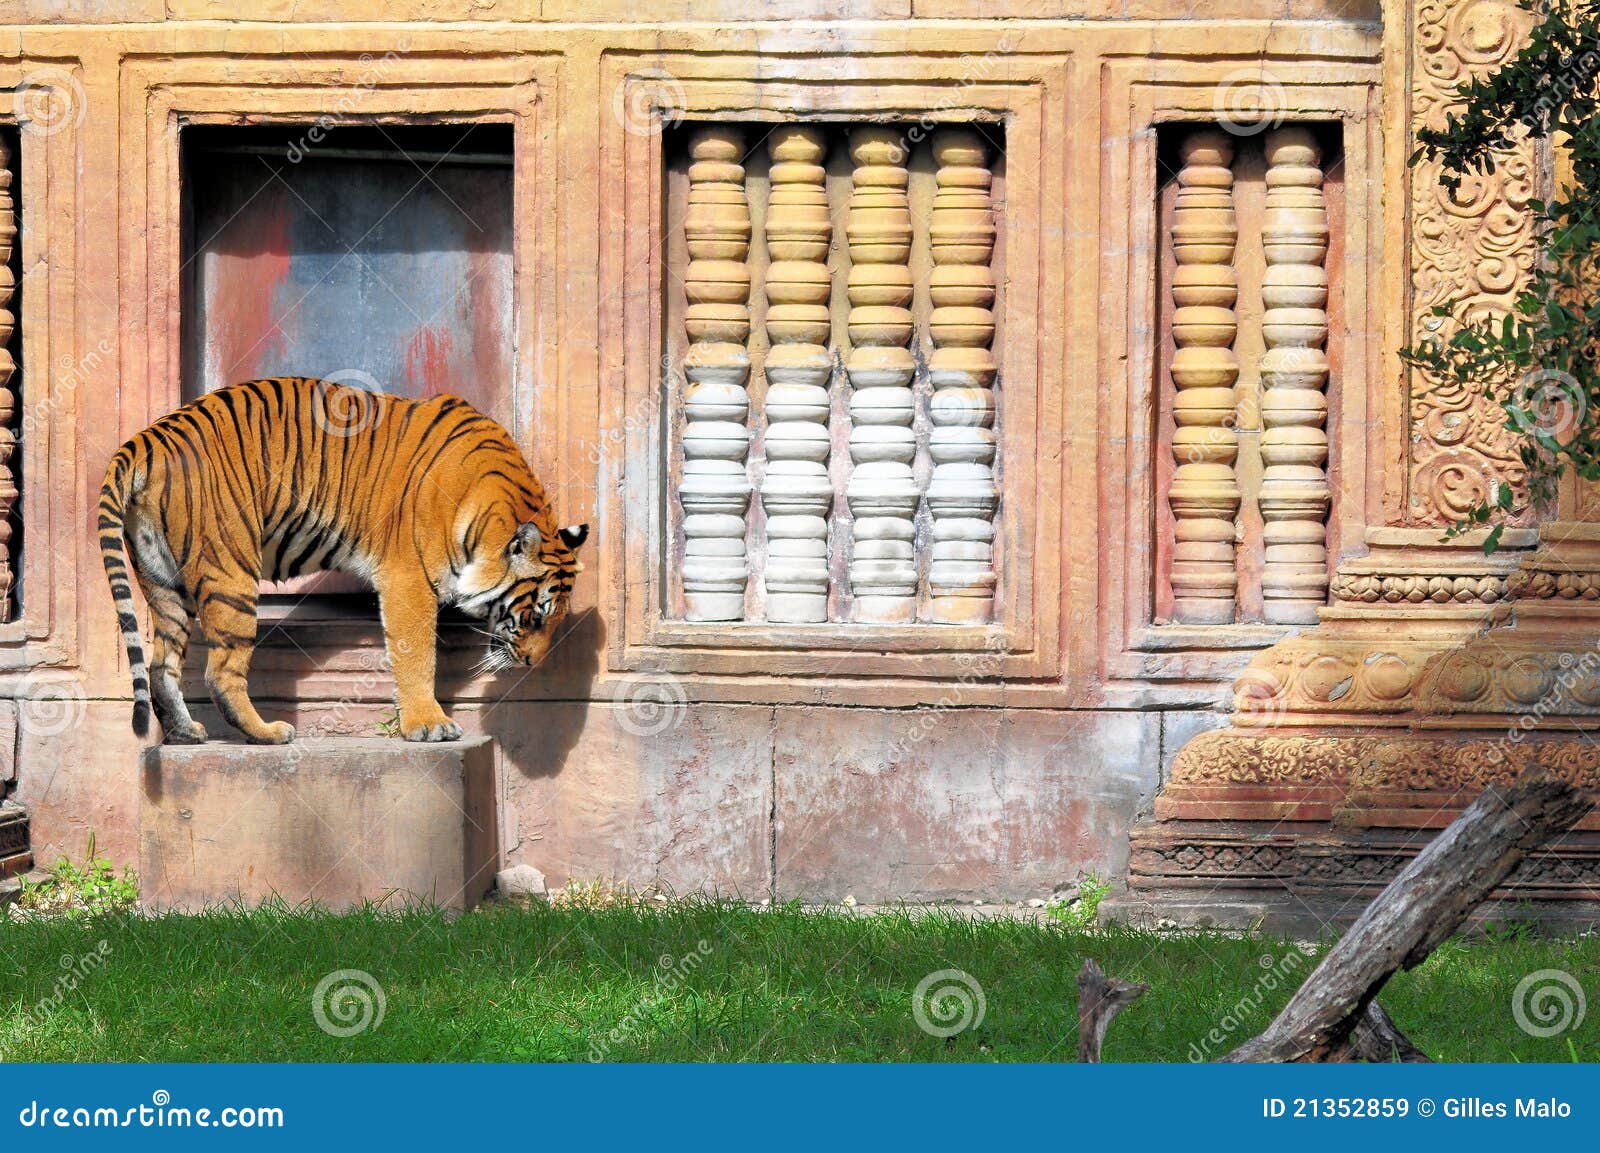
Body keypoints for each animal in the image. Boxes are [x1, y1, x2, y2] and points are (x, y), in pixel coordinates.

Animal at [99, 376, 588, 744]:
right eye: (535, 617)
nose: (532, 664)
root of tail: (152, 435)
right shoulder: (408, 579)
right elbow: (416, 654)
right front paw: (429, 725)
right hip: (230, 570)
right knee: (220, 672)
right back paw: (269, 733)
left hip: (162, 579)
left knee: (162, 666)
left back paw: (186, 733)